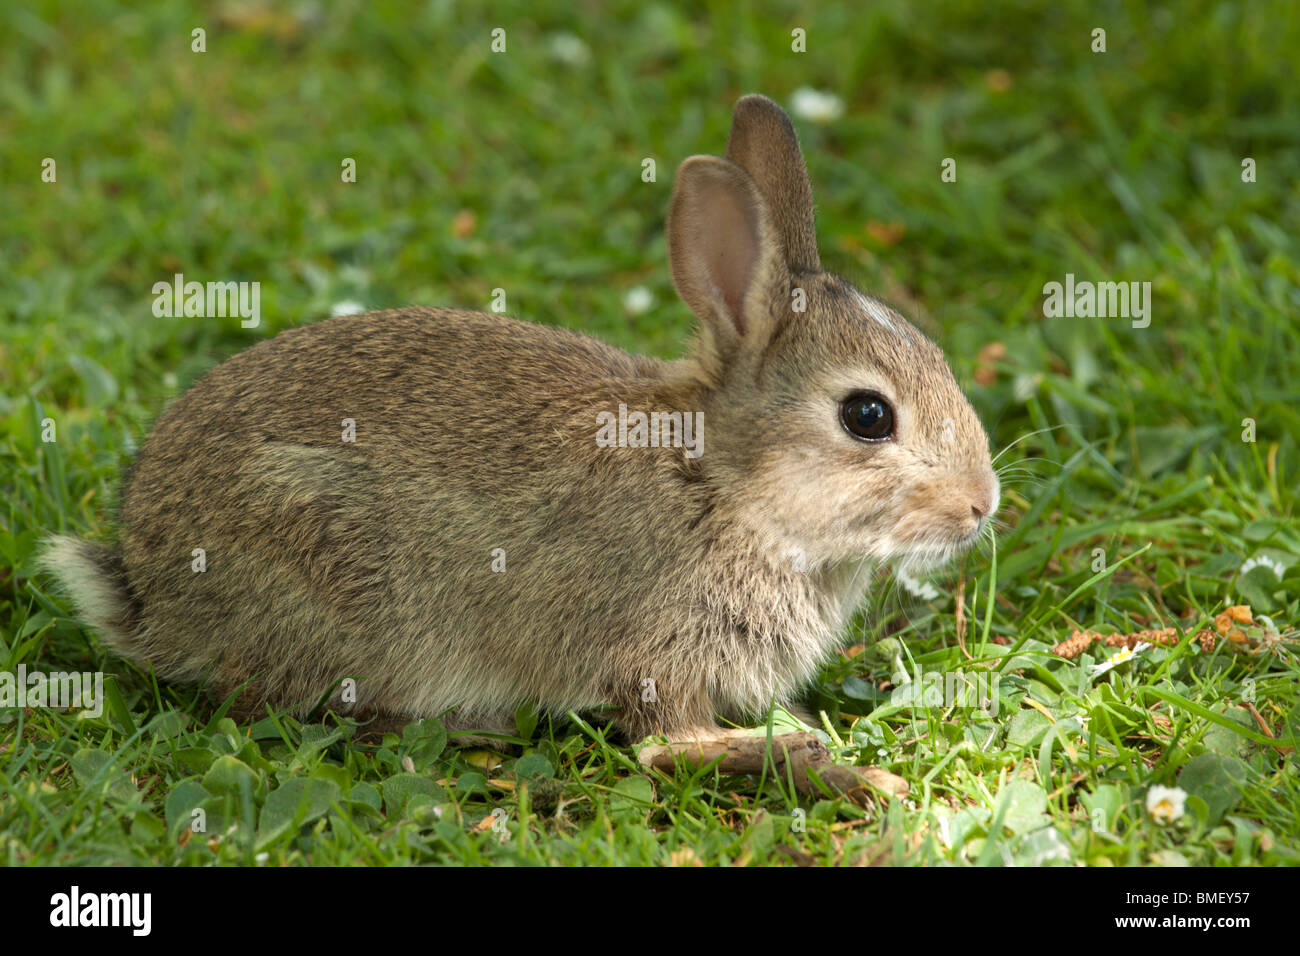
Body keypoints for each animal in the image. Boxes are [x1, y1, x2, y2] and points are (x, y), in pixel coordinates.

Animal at [42, 94, 999, 746]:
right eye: (867, 415)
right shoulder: (660, 655)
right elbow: (672, 745)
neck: (727, 485)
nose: (981, 505)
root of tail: (149, 590)